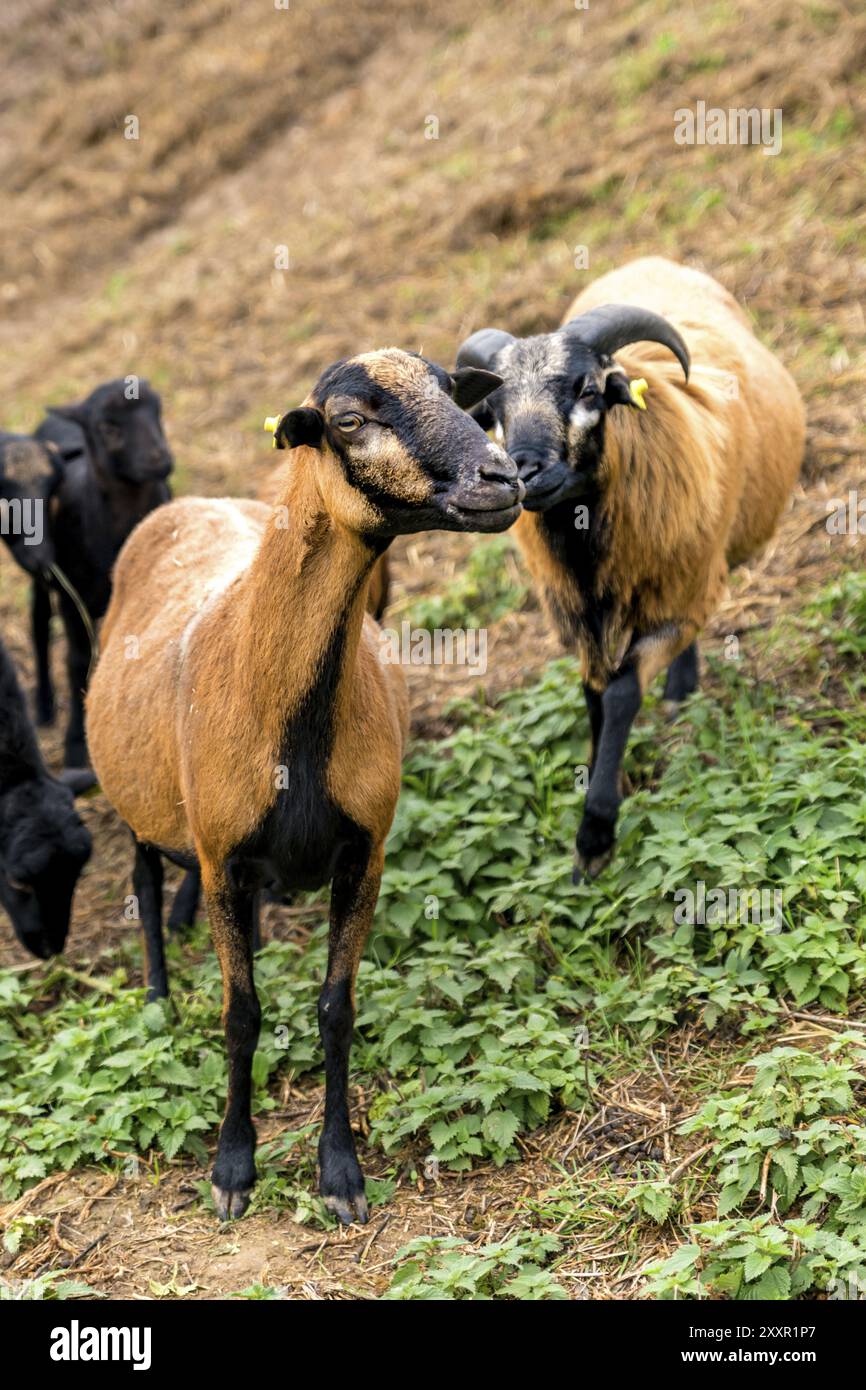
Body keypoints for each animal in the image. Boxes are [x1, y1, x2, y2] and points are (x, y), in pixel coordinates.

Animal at [30, 378, 174, 783]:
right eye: (107, 426)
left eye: (158, 411)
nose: (161, 460)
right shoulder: (71, 597)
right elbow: (75, 660)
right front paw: (75, 747)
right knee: (39, 625)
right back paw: (44, 706)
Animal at [86, 349, 519, 1224]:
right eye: (349, 421)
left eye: (454, 393)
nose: (502, 479)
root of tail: (197, 500)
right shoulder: (220, 858)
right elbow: (240, 1015)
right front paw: (232, 1168)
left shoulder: (364, 852)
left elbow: (335, 1009)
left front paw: (340, 1172)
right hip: (144, 812)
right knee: (145, 886)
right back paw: (156, 1003)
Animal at [456, 256, 805, 880]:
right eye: (492, 413)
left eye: (589, 390)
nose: (524, 471)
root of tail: (654, 261)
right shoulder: (579, 619)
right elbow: (594, 697)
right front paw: (602, 777)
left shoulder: (670, 602)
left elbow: (620, 696)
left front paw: (594, 836)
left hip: (695, 573)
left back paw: (680, 693)